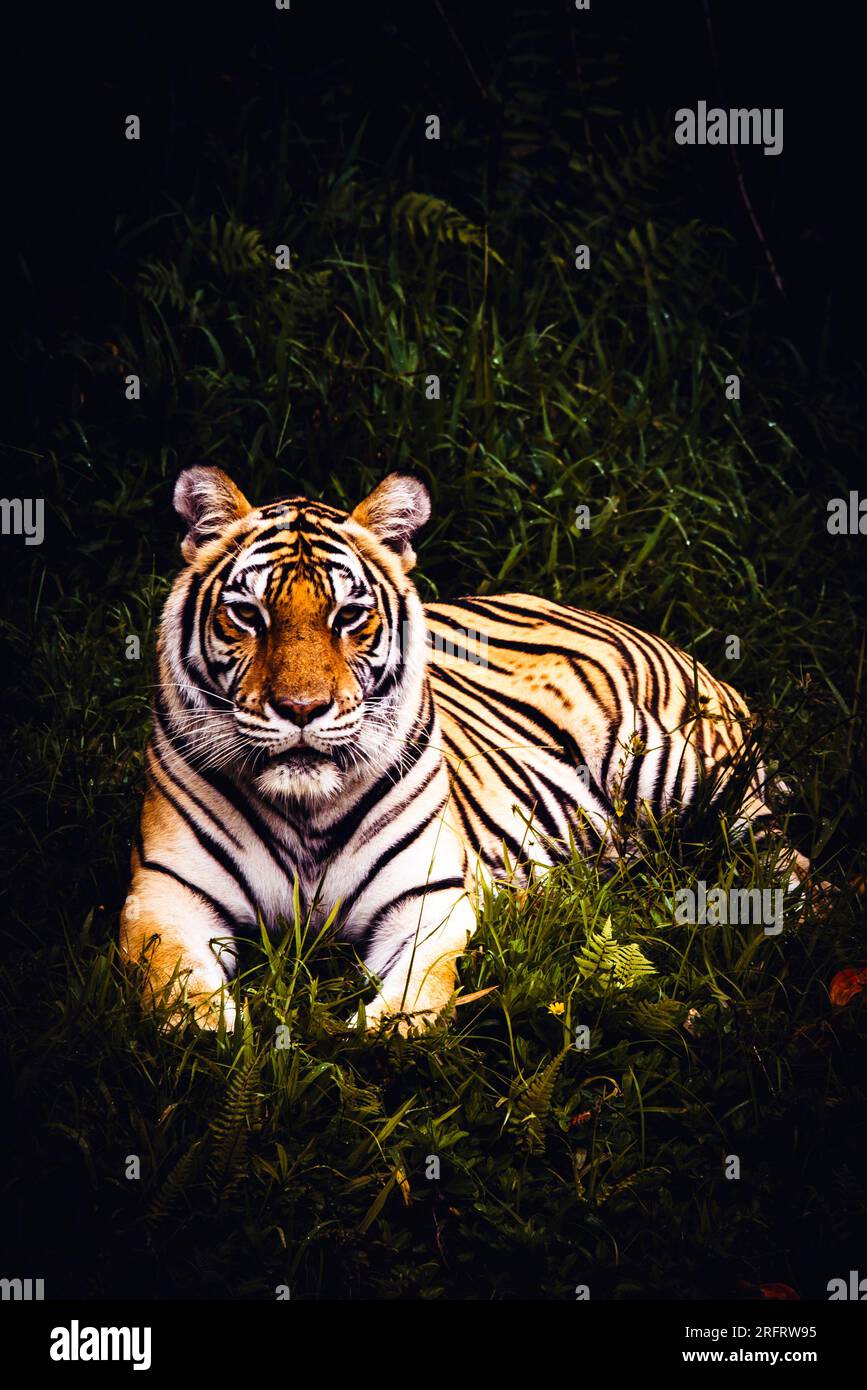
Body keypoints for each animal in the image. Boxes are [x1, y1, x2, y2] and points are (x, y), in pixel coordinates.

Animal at [120, 467, 811, 1031]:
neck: (305, 813)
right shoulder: (167, 897)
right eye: (247, 615)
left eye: (349, 616)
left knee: (789, 864)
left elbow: (414, 1004)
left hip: (675, 775)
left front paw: (367, 1044)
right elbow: (182, 1004)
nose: (301, 709)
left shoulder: (426, 900)